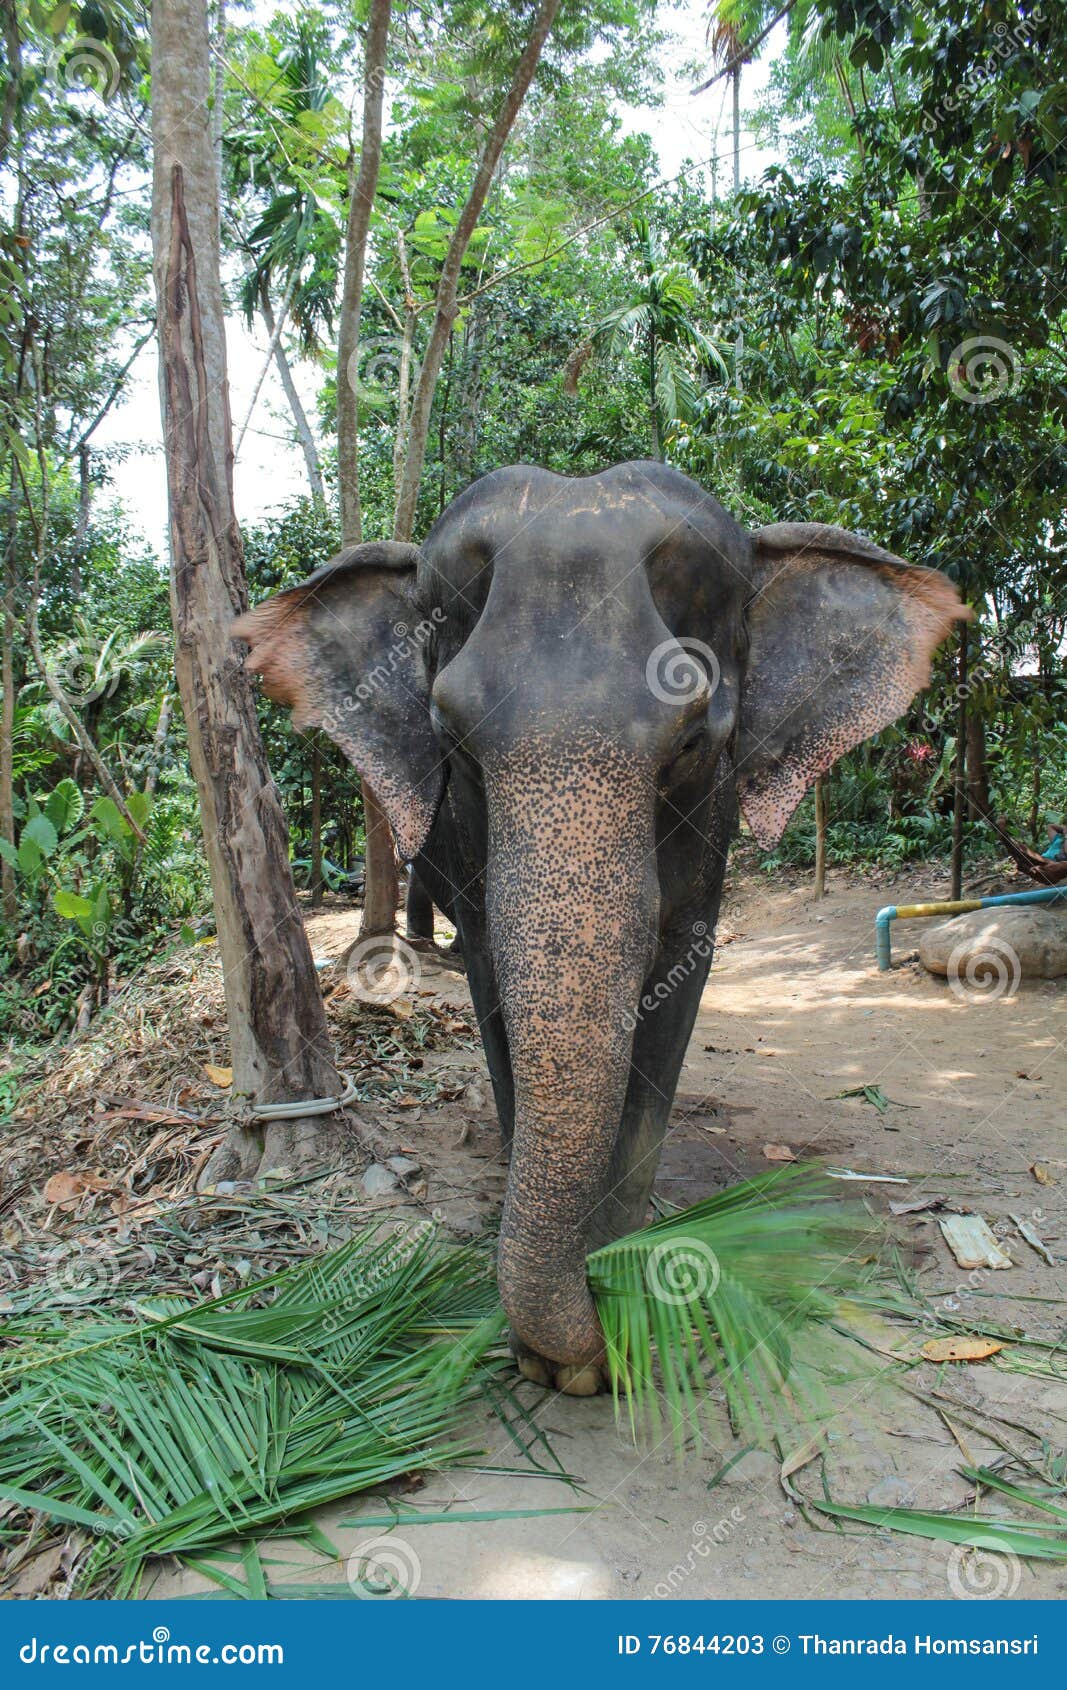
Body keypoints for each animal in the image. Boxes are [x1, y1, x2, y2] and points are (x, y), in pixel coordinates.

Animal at [234, 461, 968, 1394]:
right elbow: (494, 989)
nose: (584, 1332)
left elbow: (676, 983)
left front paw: (622, 1275)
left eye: (691, 743)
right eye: (453, 741)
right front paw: (557, 1352)